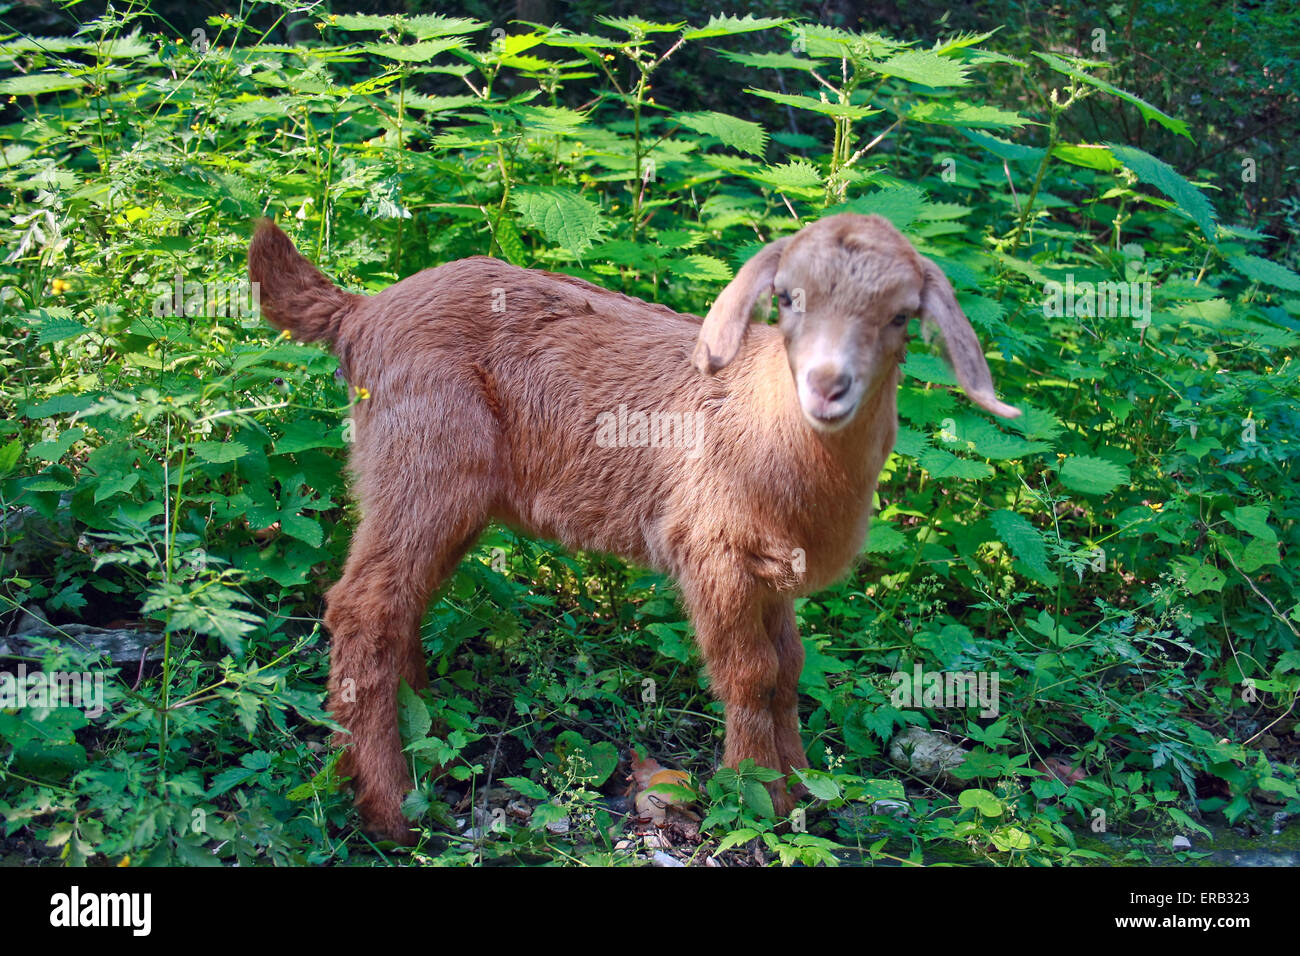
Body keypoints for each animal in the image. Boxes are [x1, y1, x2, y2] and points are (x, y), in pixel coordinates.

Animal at [248, 213, 1019, 843]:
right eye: (787, 299)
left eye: (902, 317)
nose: (829, 386)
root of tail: (362, 312)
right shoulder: (714, 551)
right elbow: (751, 674)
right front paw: (756, 798)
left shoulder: (772, 573)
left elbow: (790, 669)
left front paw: (801, 789)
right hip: (422, 460)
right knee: (364, 606)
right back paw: (387, 811)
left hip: (439, 494)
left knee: (402, 604)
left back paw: (423, 747)